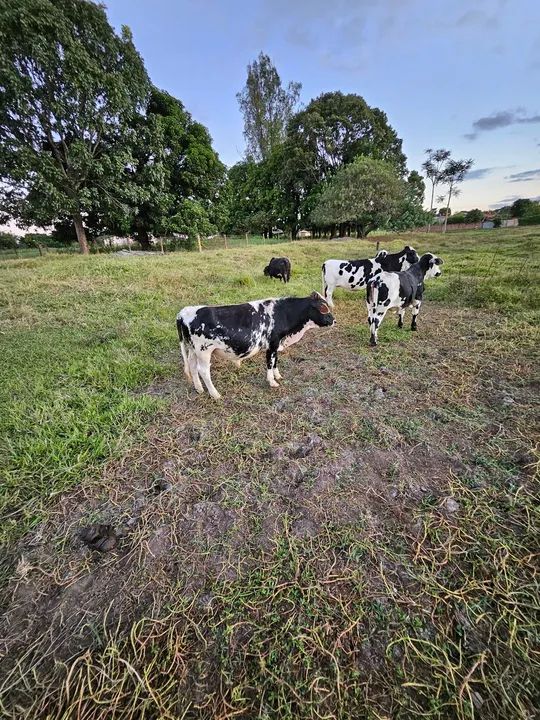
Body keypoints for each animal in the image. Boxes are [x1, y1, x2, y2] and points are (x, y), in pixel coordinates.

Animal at [177, 292, 334, 400]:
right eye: (323, 308)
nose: (334, 320)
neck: (282, 313)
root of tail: (184, 312)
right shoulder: (272, 344)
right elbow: (270, 363)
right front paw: (272, 382)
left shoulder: (276, 345)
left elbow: (275, 362)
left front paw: (278, 376)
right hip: (204, 351)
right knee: (203, 371)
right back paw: (215, 394)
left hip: (193, 350)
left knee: (192, 366)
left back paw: (199, 389)